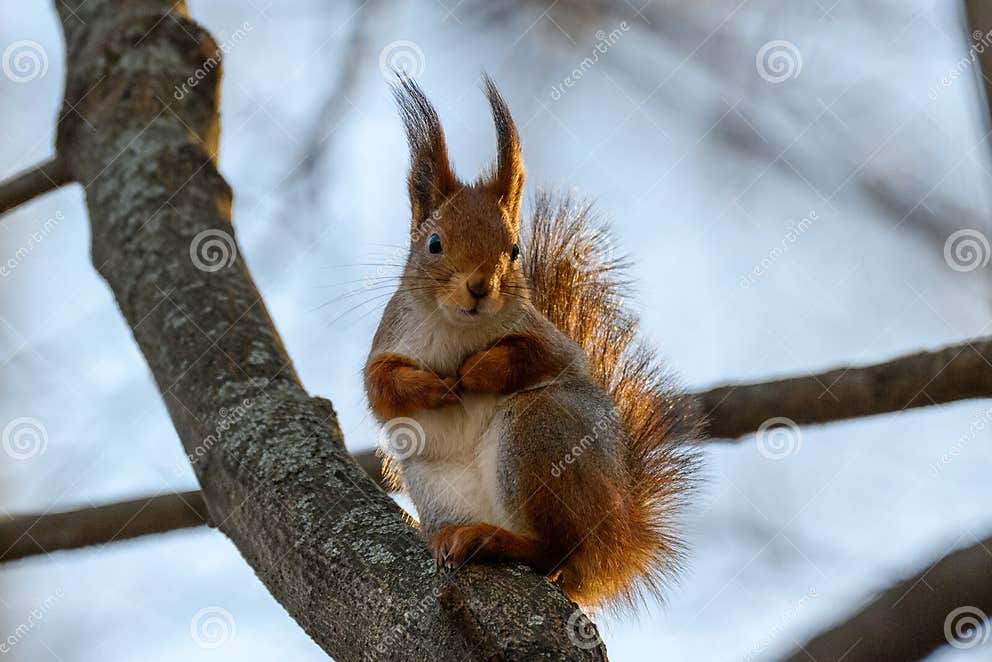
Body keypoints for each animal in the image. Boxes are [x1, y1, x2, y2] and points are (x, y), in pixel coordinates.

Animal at [364, 74, 700, 608]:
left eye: (514, 250)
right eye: (434, 244)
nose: (479, 286)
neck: (460, 330)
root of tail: (617, 545)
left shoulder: (547, 340)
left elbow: (539, 357)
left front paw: (477, 371)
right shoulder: (389, 338)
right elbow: (380, 386)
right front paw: (432, 387)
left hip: (538, 433)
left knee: (554, 549)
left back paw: (496, 541)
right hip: (436, 484)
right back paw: (456, 537)